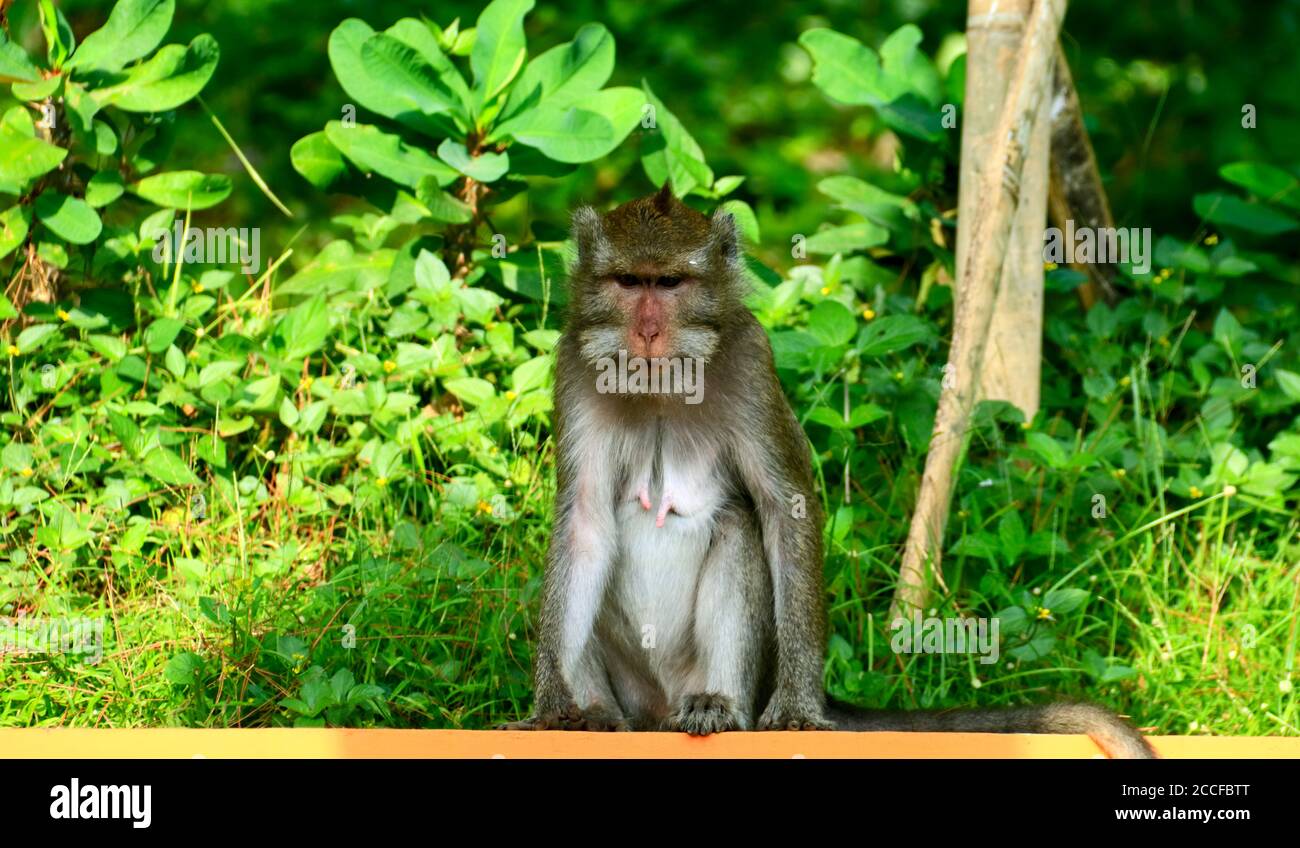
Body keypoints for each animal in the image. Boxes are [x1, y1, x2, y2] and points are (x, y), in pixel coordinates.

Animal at [500, 184, 1155, 759]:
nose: (647, 331)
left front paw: (797, 706)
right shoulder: (572, 365)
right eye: (627, 281)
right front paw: (550, 708)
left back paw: (718, 705)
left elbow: (783, 506)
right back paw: (596, 718)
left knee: (738, 530)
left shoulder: (750, 360)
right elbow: (583, 522)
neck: (663, 383)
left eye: (669, 283)